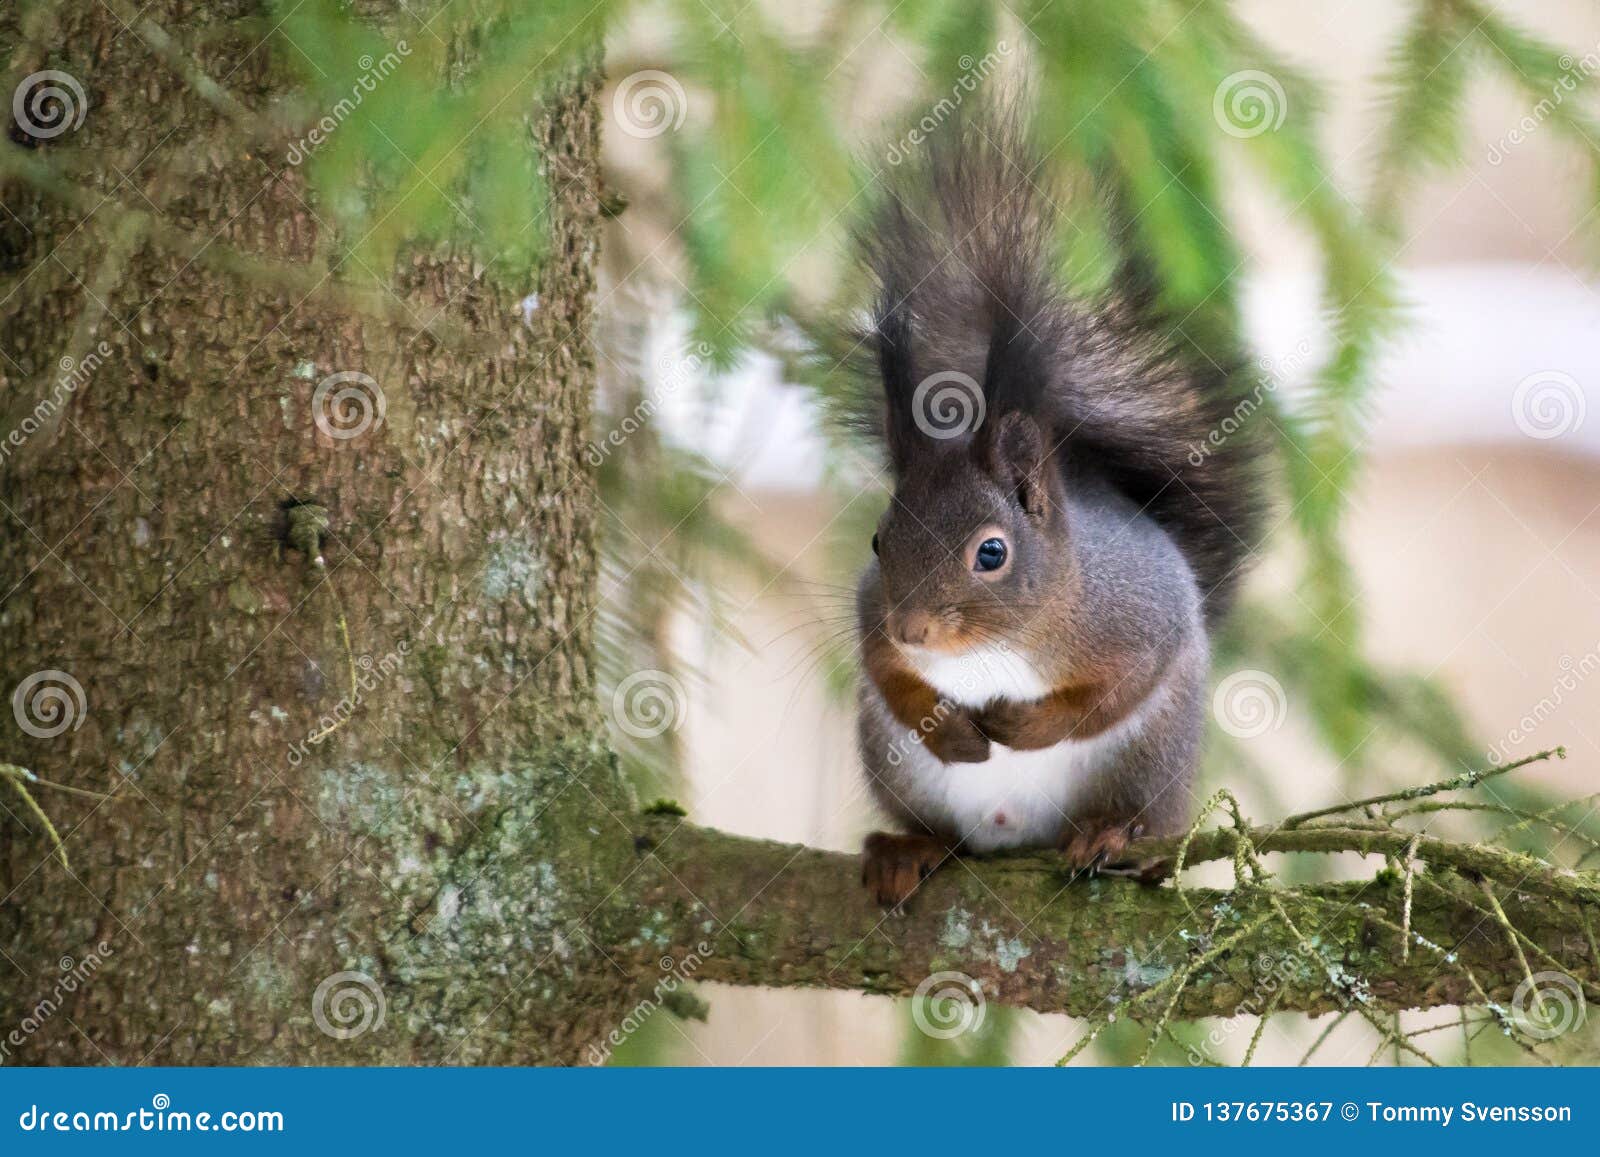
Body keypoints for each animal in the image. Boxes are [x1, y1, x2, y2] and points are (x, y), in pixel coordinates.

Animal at [850, 109, 1266, 907]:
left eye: (992, 552)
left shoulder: (1138, 611)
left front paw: (1027, 727)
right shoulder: (868, 616)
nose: (913, 628)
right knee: (939, 833)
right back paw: (907, 848)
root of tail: (1014, 835)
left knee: (1145, 826)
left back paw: (1113, 838)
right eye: (878, 541)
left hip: (1150, 763)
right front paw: (947, 728)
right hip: (896, 768)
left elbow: (1118, 688)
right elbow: (883, 668)